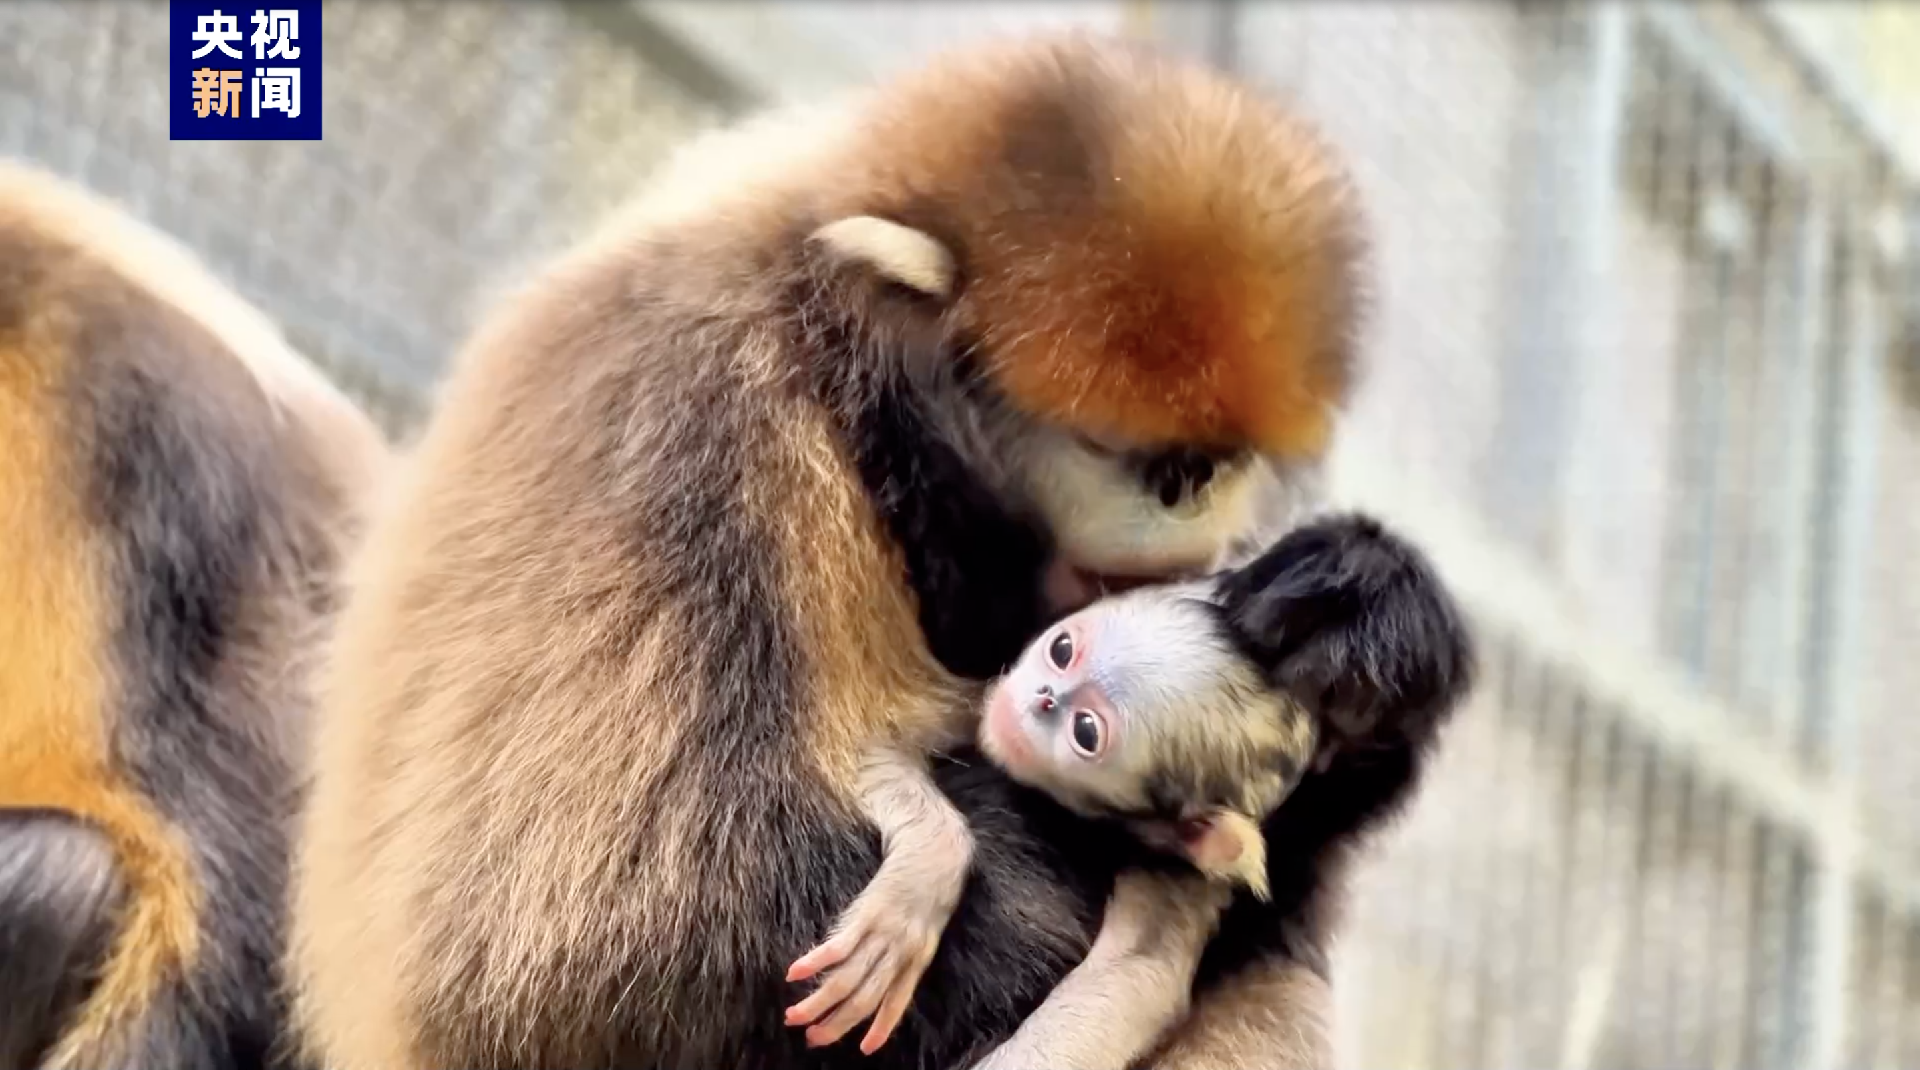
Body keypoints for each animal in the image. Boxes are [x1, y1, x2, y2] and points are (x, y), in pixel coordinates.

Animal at [288, 31, 1472, 1070]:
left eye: (1219, 467)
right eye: (1164, 470)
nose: (1206, 516)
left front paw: (1369, 628)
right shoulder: (684, 404)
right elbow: (577, 961)